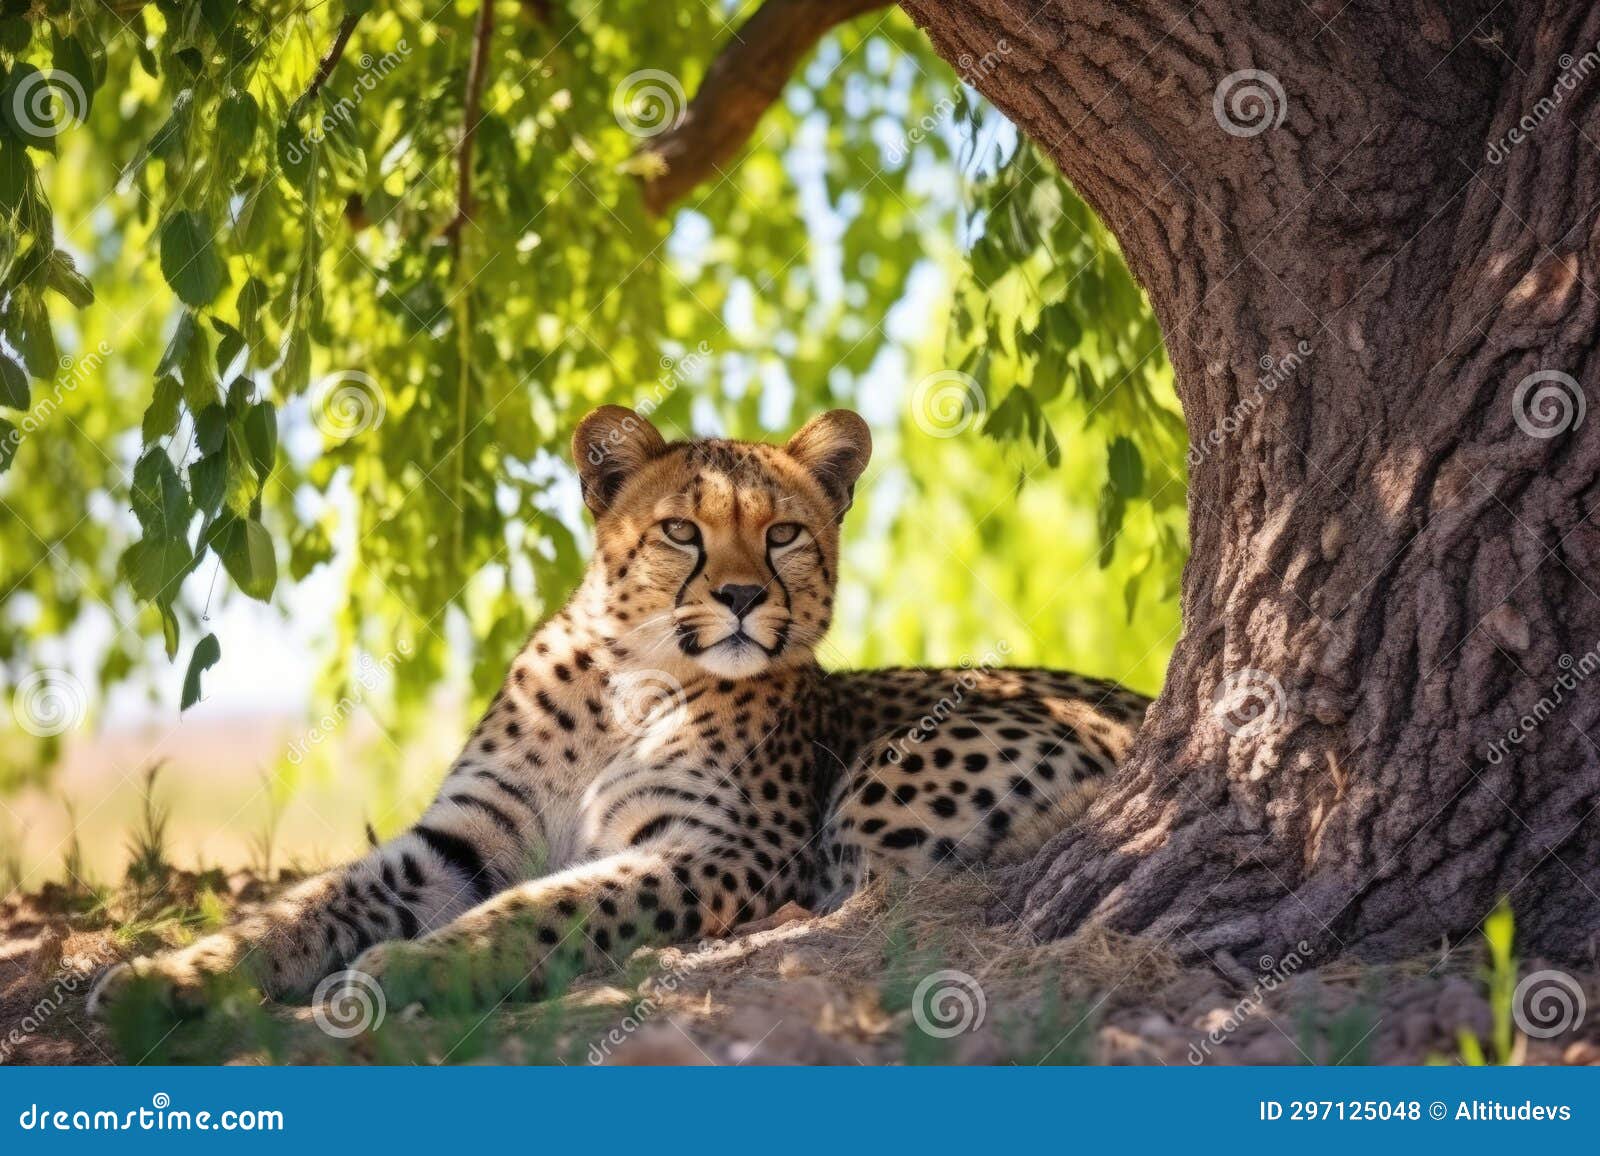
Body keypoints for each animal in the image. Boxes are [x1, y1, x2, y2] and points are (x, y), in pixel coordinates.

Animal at [89, 405, 1150, 1017]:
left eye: (783, 535)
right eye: (681, 530)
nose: (740, 597)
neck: (629, 687)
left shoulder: (723, 849)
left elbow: (554, 904)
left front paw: (418, 970)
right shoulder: (457, 840)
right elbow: (300, 906)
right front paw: (168, 976)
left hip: (872, 796)